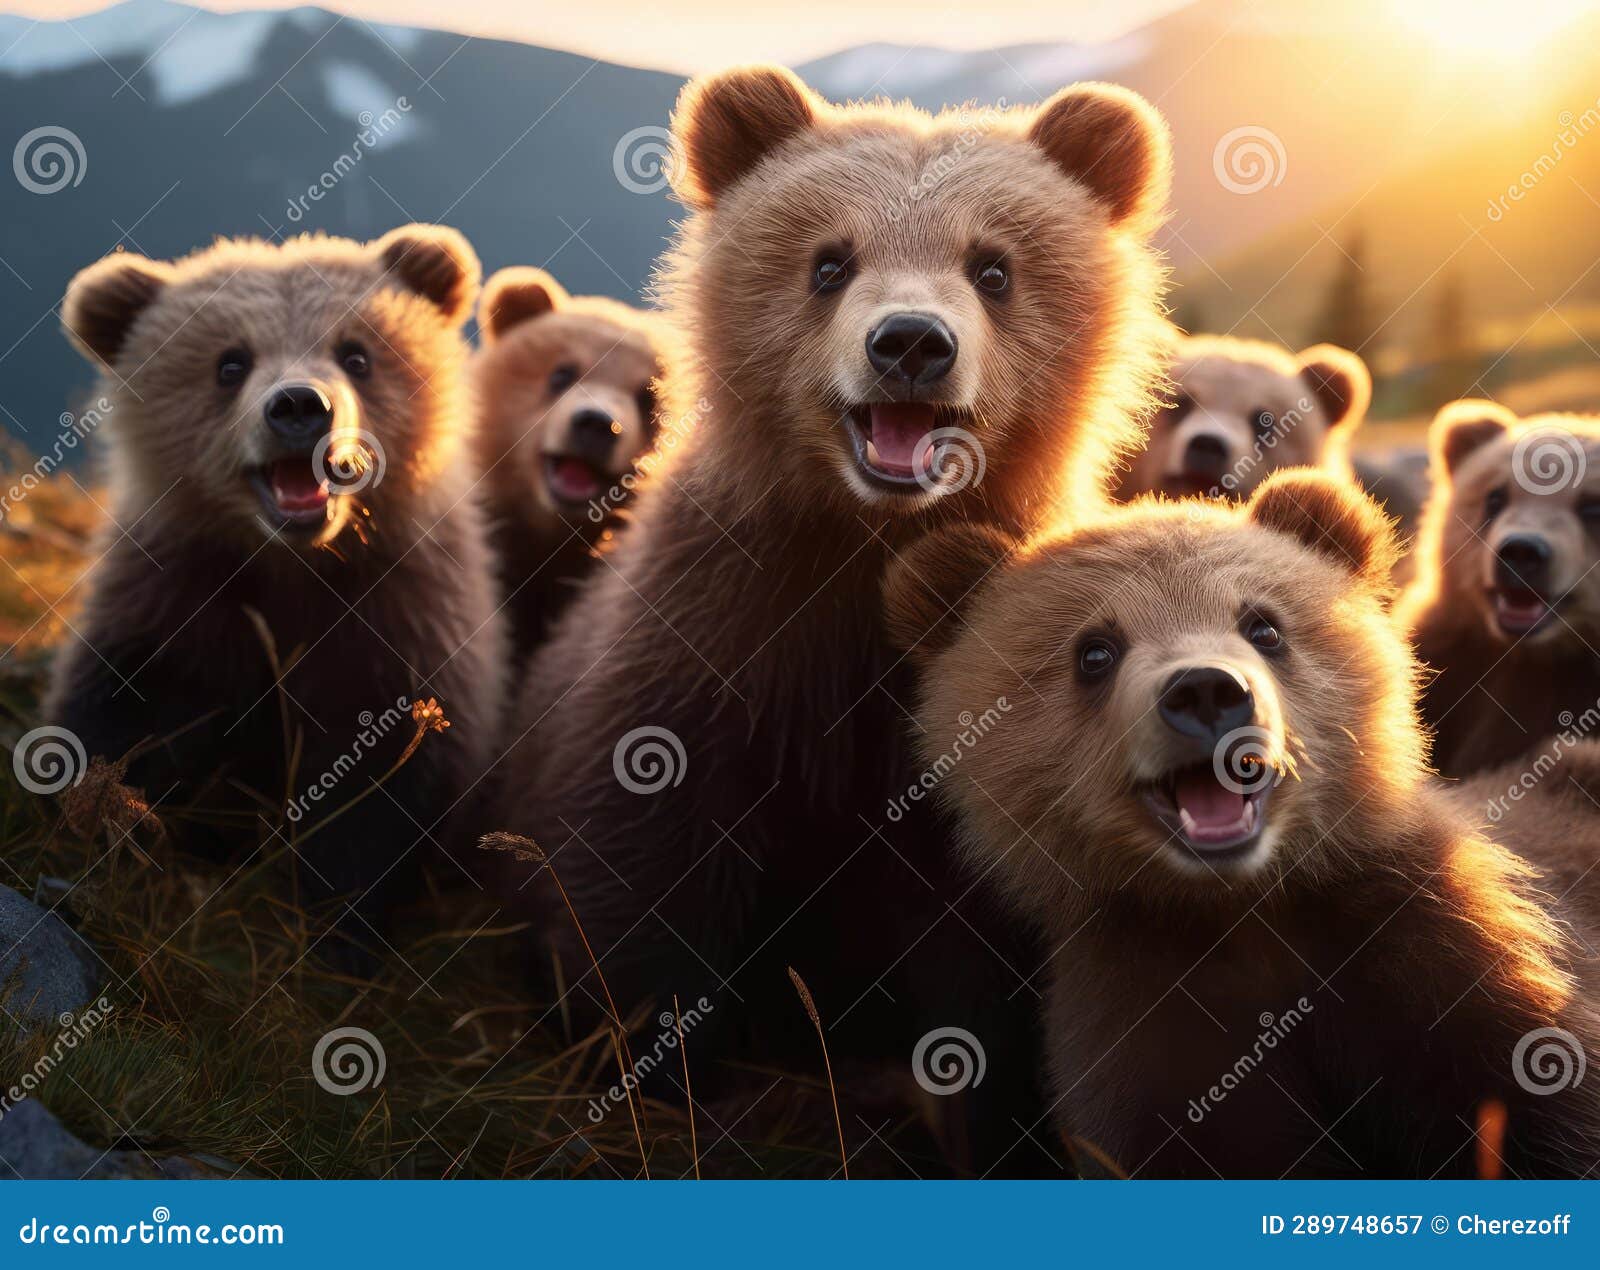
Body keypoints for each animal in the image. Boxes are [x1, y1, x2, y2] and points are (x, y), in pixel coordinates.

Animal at [45, 226, 508, 943]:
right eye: (230, 363)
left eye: (356, 353)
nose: (300, 406)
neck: (294, 564)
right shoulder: (175, 600)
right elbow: (118, 722)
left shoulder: (402, 617)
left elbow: (381, 787)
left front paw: (338, 921)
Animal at [881, 469, 1600, 1178]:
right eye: (1094, 651)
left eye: (1264, 627)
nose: (1206, 690)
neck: (1247, 905)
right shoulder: (1147, 1016)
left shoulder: (1435, 962)